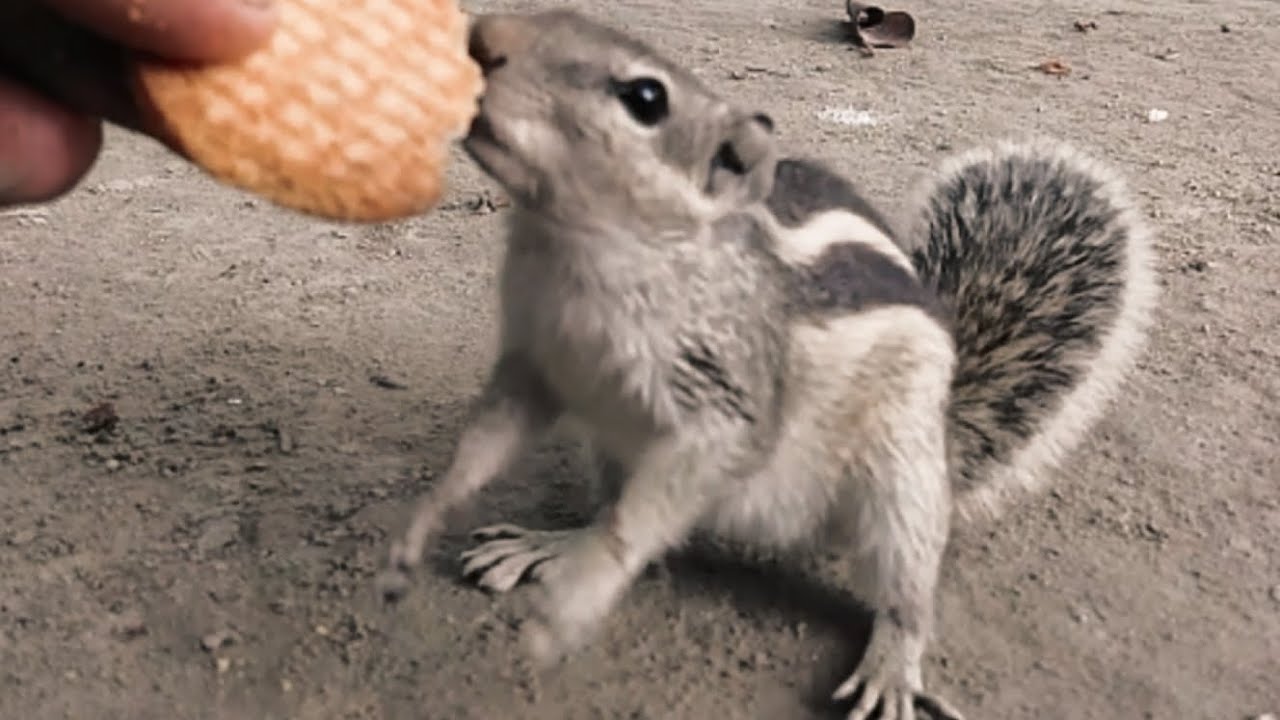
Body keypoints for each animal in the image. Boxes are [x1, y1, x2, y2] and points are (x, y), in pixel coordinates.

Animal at [377, 9, 1158, 720]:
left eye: (646, 99)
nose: (481, 41)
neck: (578, 251)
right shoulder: (538, 363)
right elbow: (490, 441)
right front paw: (429, 518)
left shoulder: (727, 391)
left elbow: (651, 514)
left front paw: (575, 607)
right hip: (613, 451)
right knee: (616, 510)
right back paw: (555, 545)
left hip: (899, 476)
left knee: (903, 583)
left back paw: (892, 662)